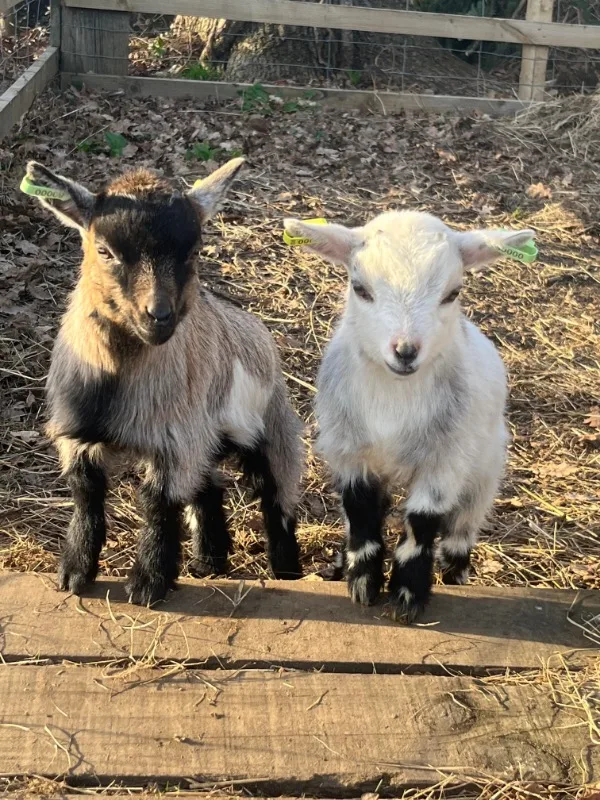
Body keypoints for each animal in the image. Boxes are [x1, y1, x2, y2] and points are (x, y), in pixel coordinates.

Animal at [26, 158, 303, 605]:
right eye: (105, 251)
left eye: (192, 251)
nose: (159, 315)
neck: (117, 382)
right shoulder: (79, 433)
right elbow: (86, 495)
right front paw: (74, 573)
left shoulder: (174, 438)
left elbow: (157, 502)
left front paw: (148, 583)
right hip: (207, 436)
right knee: (208, 489)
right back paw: (209, 562)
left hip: (271, 425)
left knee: (277, 496)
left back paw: (287, 571)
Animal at [284, 211, 534, 620]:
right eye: (360, 288)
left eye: (452, 293)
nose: (405, 351)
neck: (394, 400)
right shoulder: (349, 452)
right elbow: (361, 513)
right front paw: (363, 582)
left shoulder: (446, 461)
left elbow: (421, 522)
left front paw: (408, 594)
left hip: (484, 468)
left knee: (461, 529)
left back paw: (455, 575)